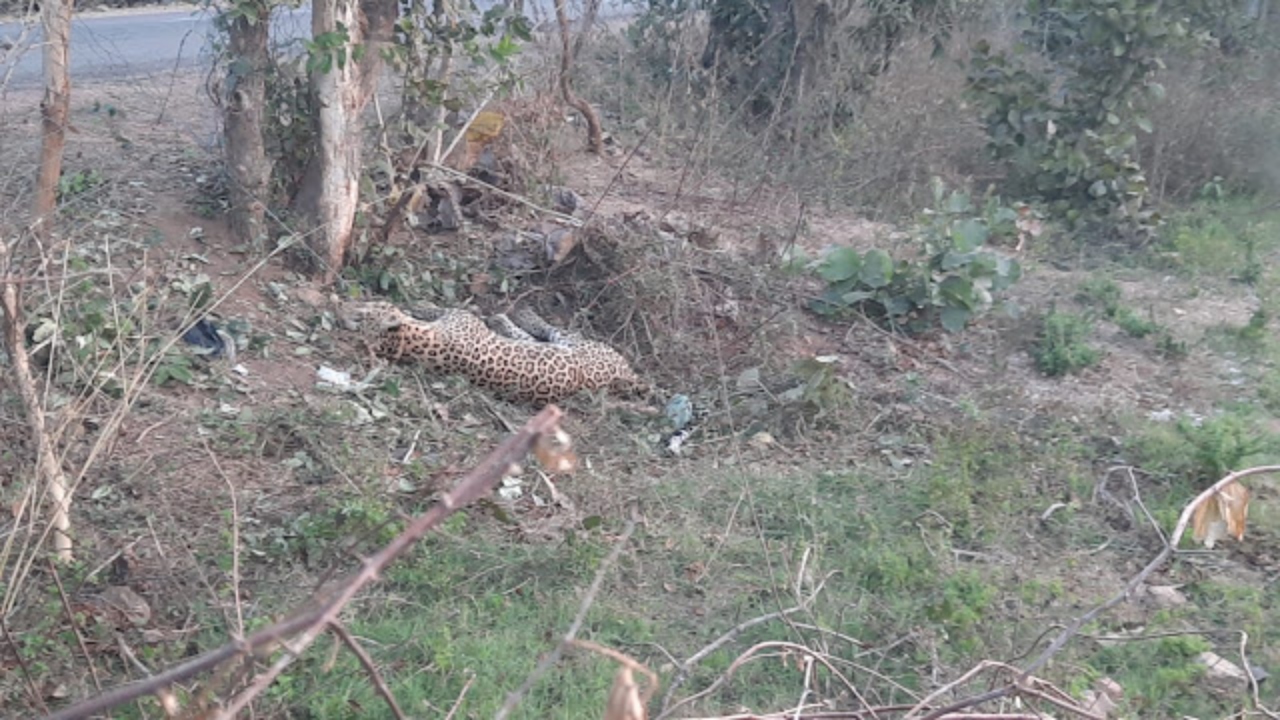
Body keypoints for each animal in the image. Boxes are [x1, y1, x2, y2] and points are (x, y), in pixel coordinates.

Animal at [337, 300, 651, 407]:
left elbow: (432, 310)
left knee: (541, 334)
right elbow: (438, 309)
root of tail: (627, 377)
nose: (349, 308)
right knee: (543, 333)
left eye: (369, 308)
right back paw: (511, 316)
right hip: (576, 346)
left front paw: (418, 305)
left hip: (573, 345)